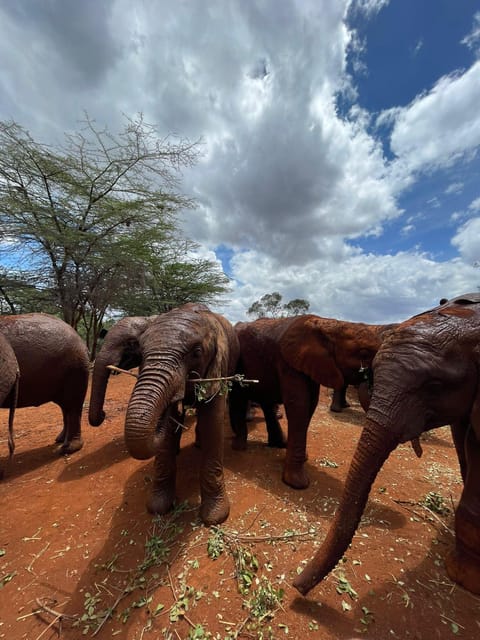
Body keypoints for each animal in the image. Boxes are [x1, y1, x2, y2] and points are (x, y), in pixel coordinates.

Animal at [89, 303, 240, 526]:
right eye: (140, 350)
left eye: (197, 352)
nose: (102, 415)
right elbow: (167, 435)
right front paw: (159, 507)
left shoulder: (218, 367)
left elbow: (212, 422)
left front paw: (215, 516)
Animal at [229, 315, 385, 489]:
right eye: (364, 353)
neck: (329, 324)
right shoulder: (288, 363)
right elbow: (299, 405)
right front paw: (297, 483)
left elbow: (311, 405)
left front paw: (302, 458)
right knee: (238, 398)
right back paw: (239, 447)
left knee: (265, 401)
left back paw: (279, 444)